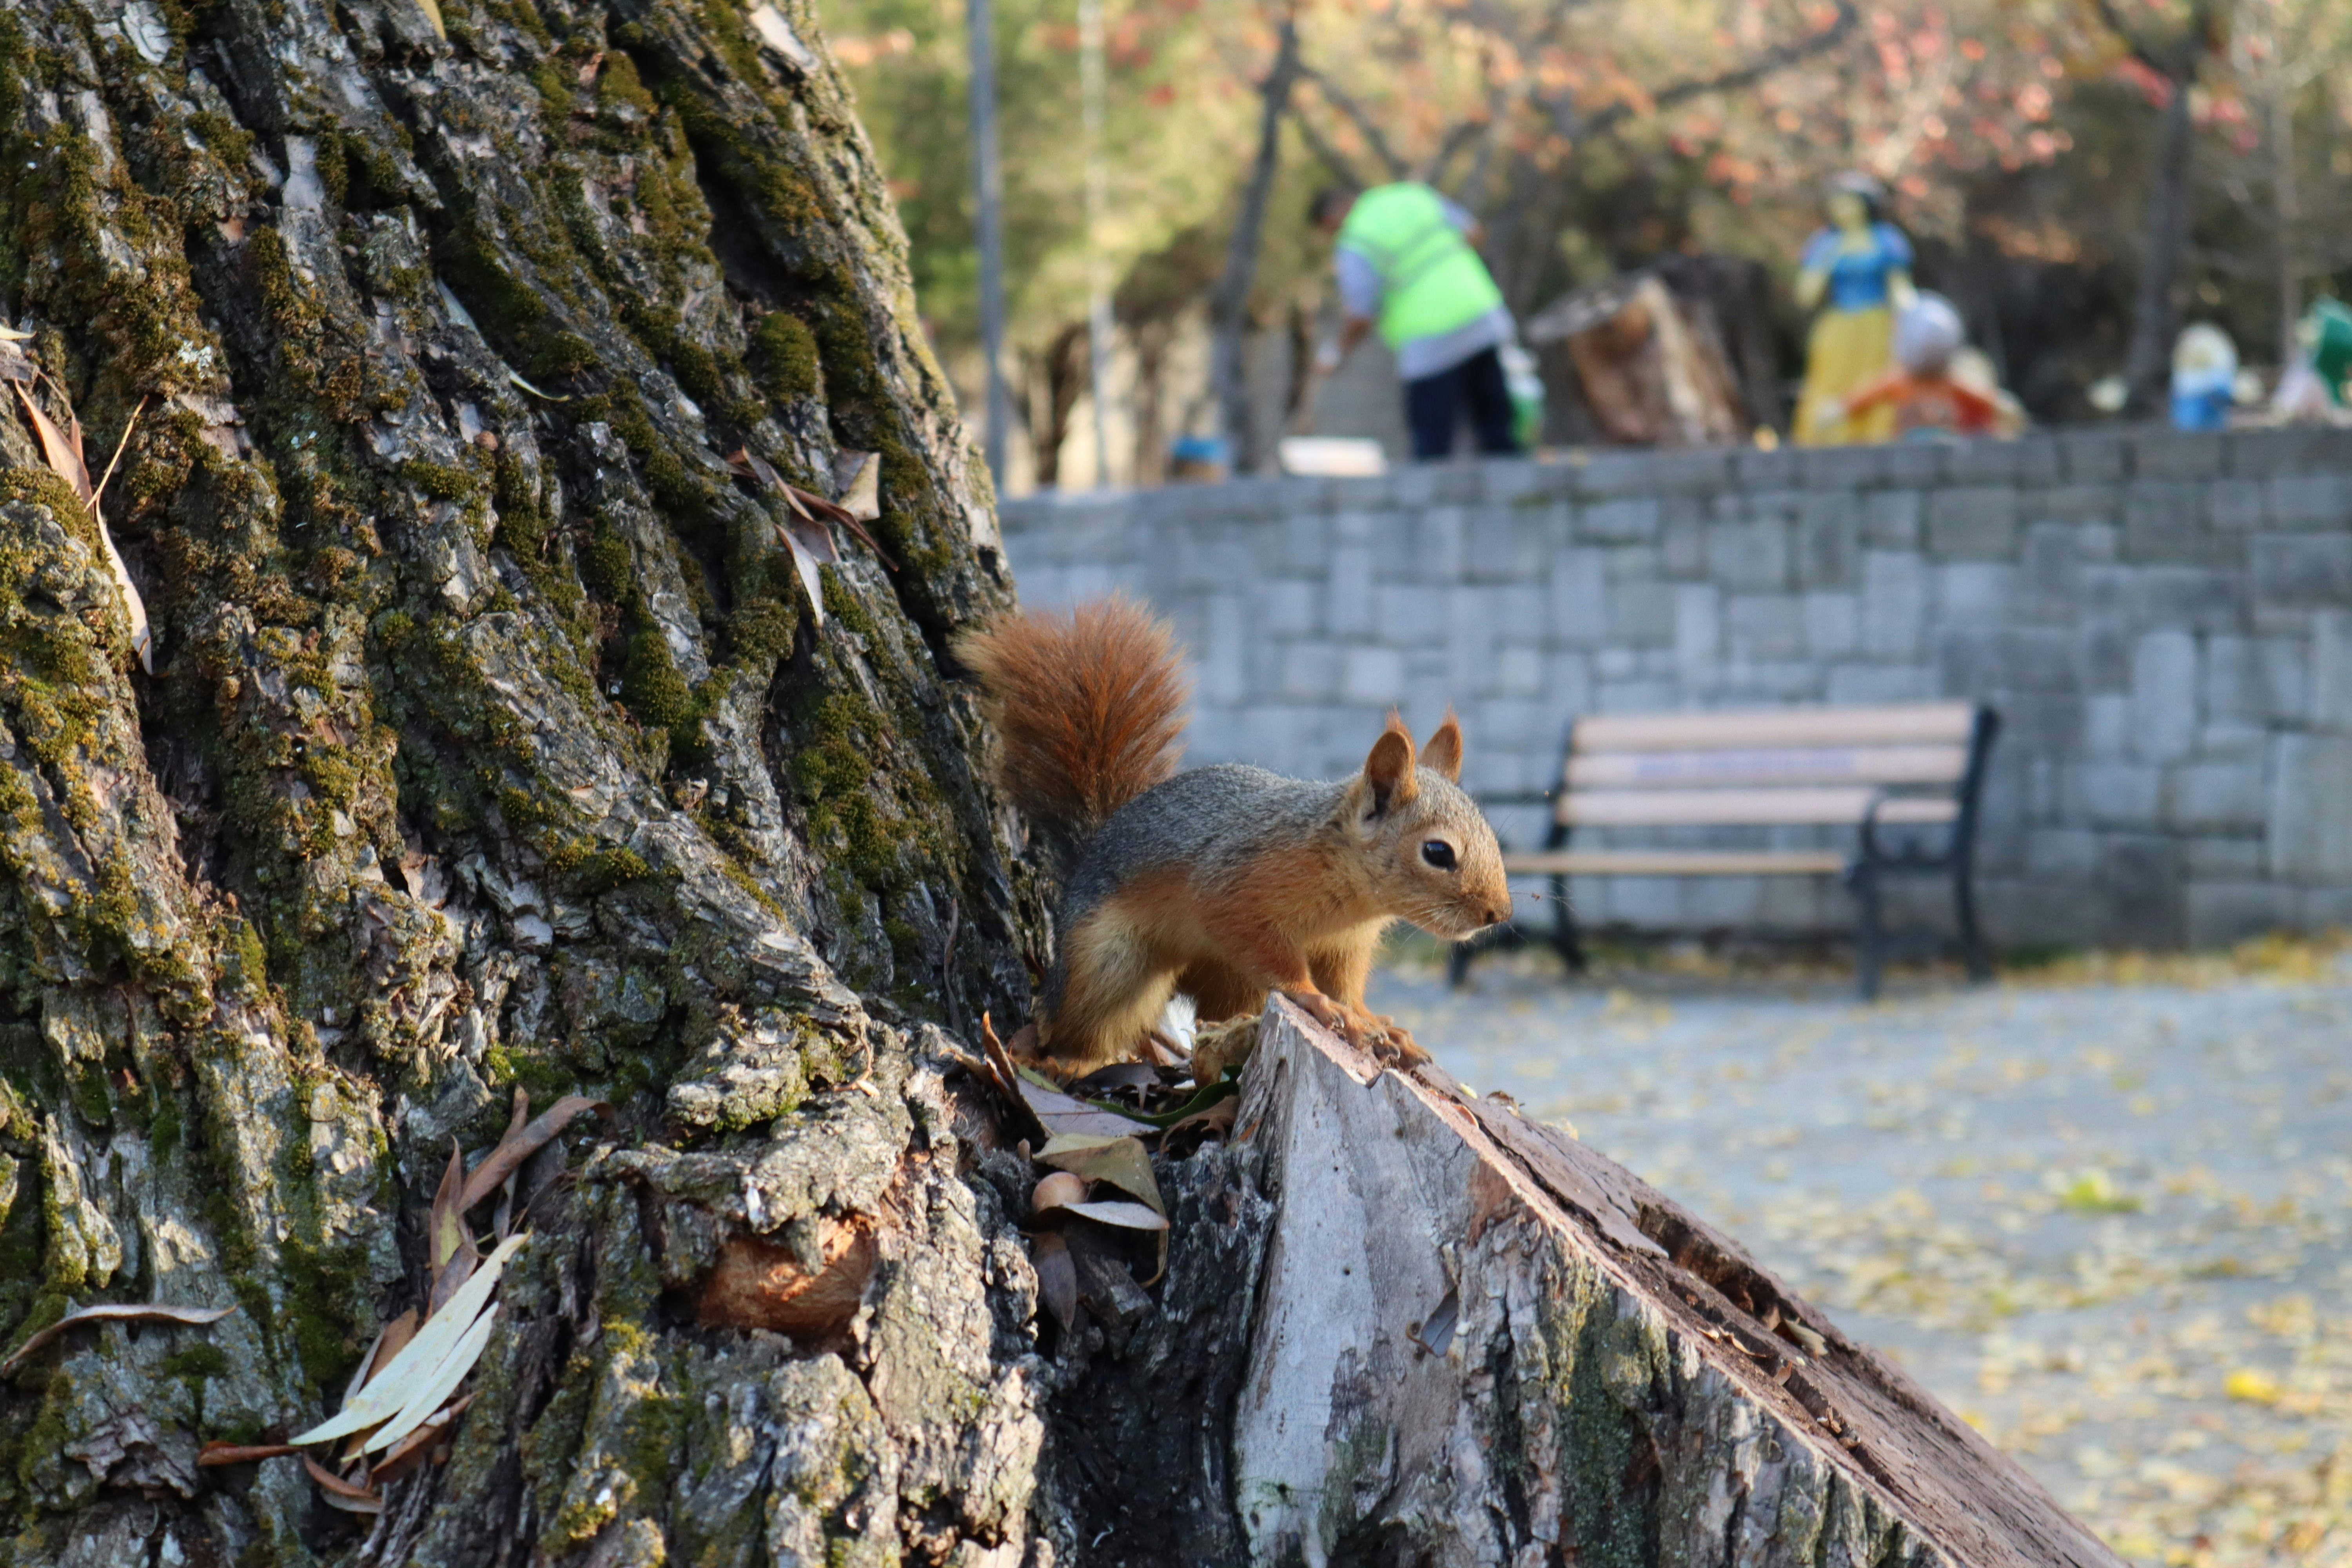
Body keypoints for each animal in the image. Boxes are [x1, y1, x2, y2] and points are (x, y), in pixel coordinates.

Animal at [955, 595, 1511, 1072]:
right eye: (1438, 852)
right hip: (1111, 964)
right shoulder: (1239, 885)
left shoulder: (1344, 946)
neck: (1351, 896)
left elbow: (1348, 987)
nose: (1499, 914)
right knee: (1077, 1020)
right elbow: (1270, 953)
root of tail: (1094, 846)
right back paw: (1055, 1057)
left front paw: (1374, 1022)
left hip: (1226, 981)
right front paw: (1315, 1000)